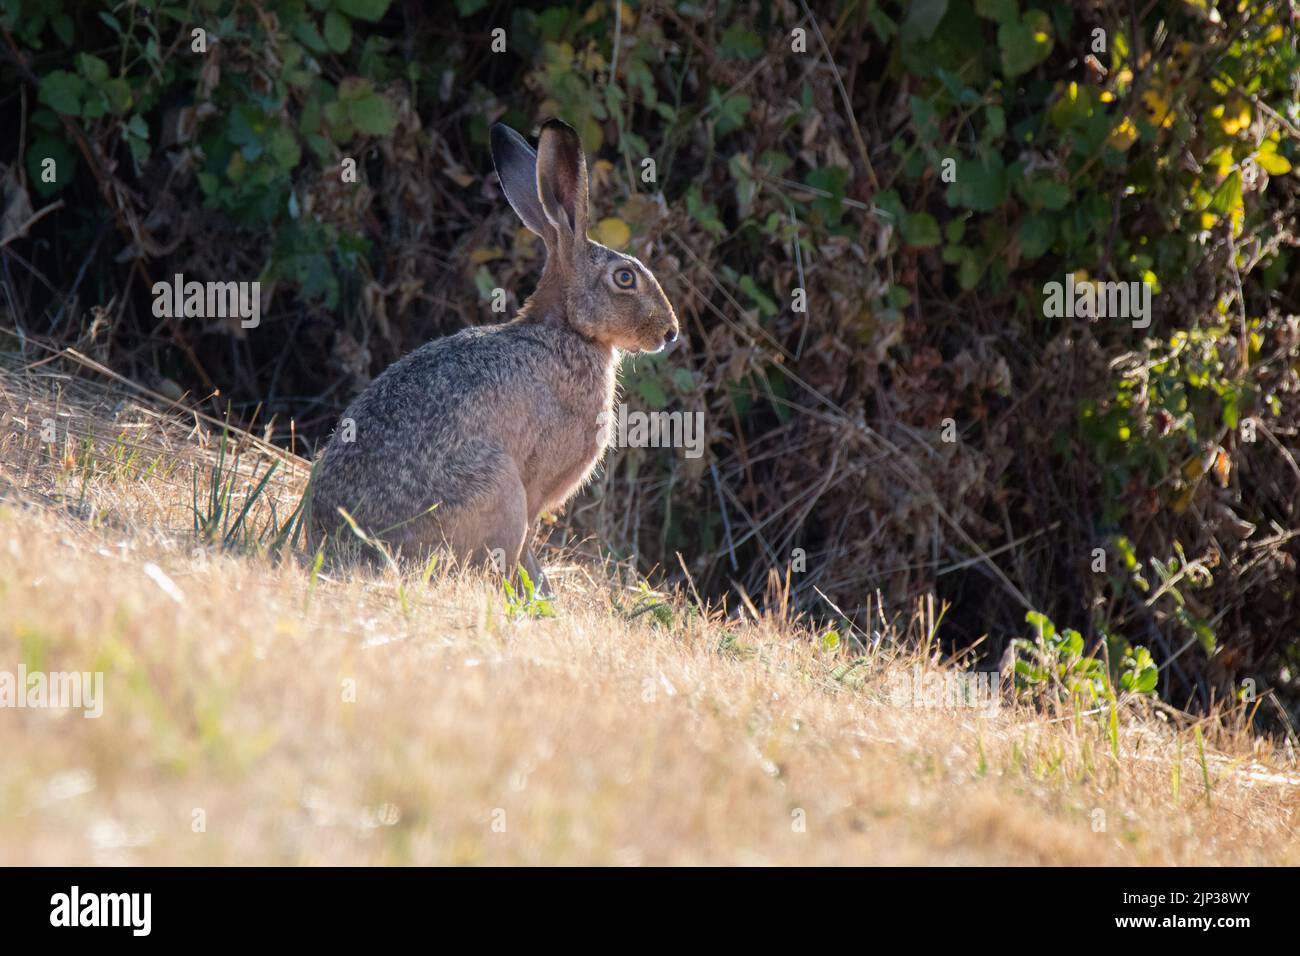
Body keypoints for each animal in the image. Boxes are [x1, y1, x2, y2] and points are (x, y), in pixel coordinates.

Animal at [310, 118, 680, 590]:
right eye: (625, 278)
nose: (670, 332)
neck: (568, 329)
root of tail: (345, 542)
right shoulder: (537, 483)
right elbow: (528, 545)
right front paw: (540, 590)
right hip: (497, 485)